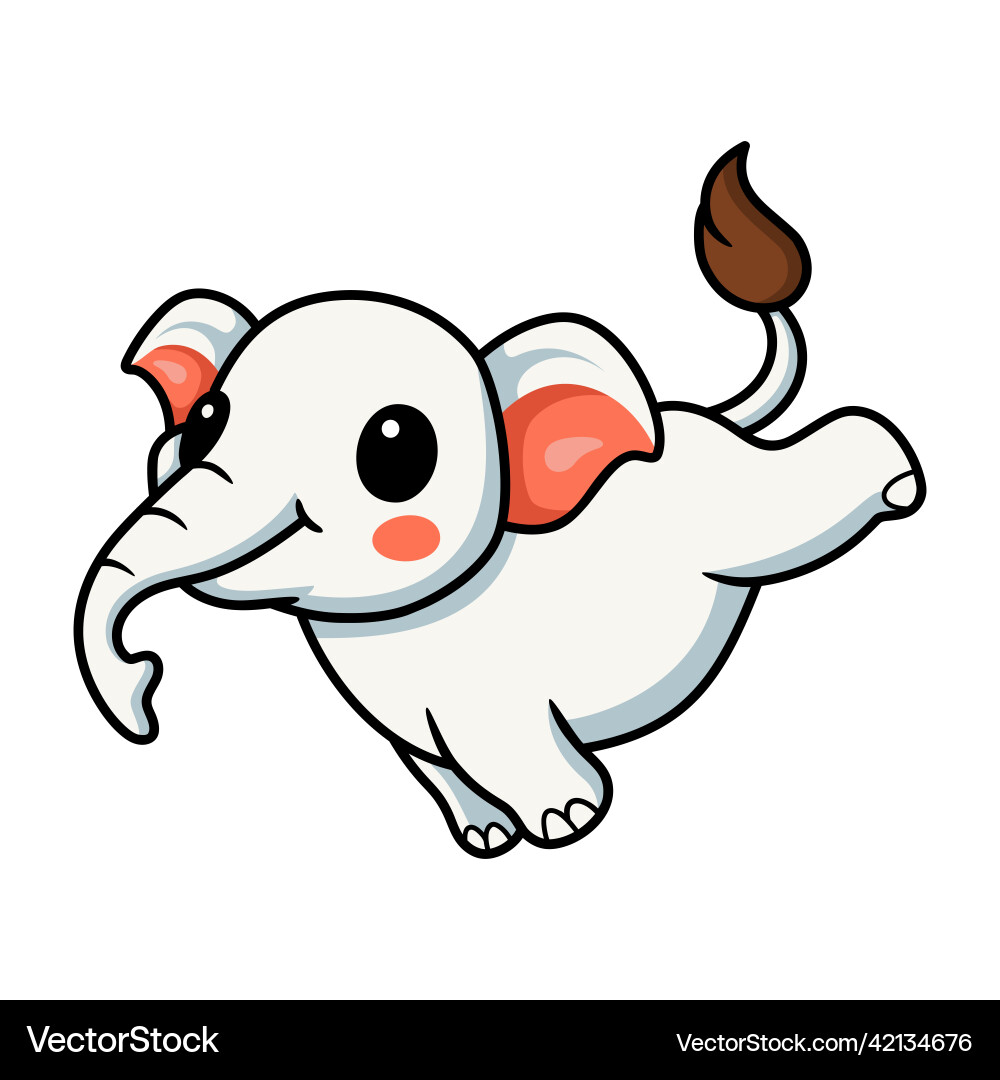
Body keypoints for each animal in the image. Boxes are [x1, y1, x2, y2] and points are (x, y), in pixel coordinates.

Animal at [75, 143, 924, 857]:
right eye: (201, 426)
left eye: (395, 450)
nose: (145, 685)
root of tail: (694, 417)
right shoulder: (399, 714)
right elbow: (431, 761)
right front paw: (486, 835)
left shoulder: (496, 695)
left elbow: (507, 743)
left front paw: (566, 819)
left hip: (731, 511)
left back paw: (899, 477)